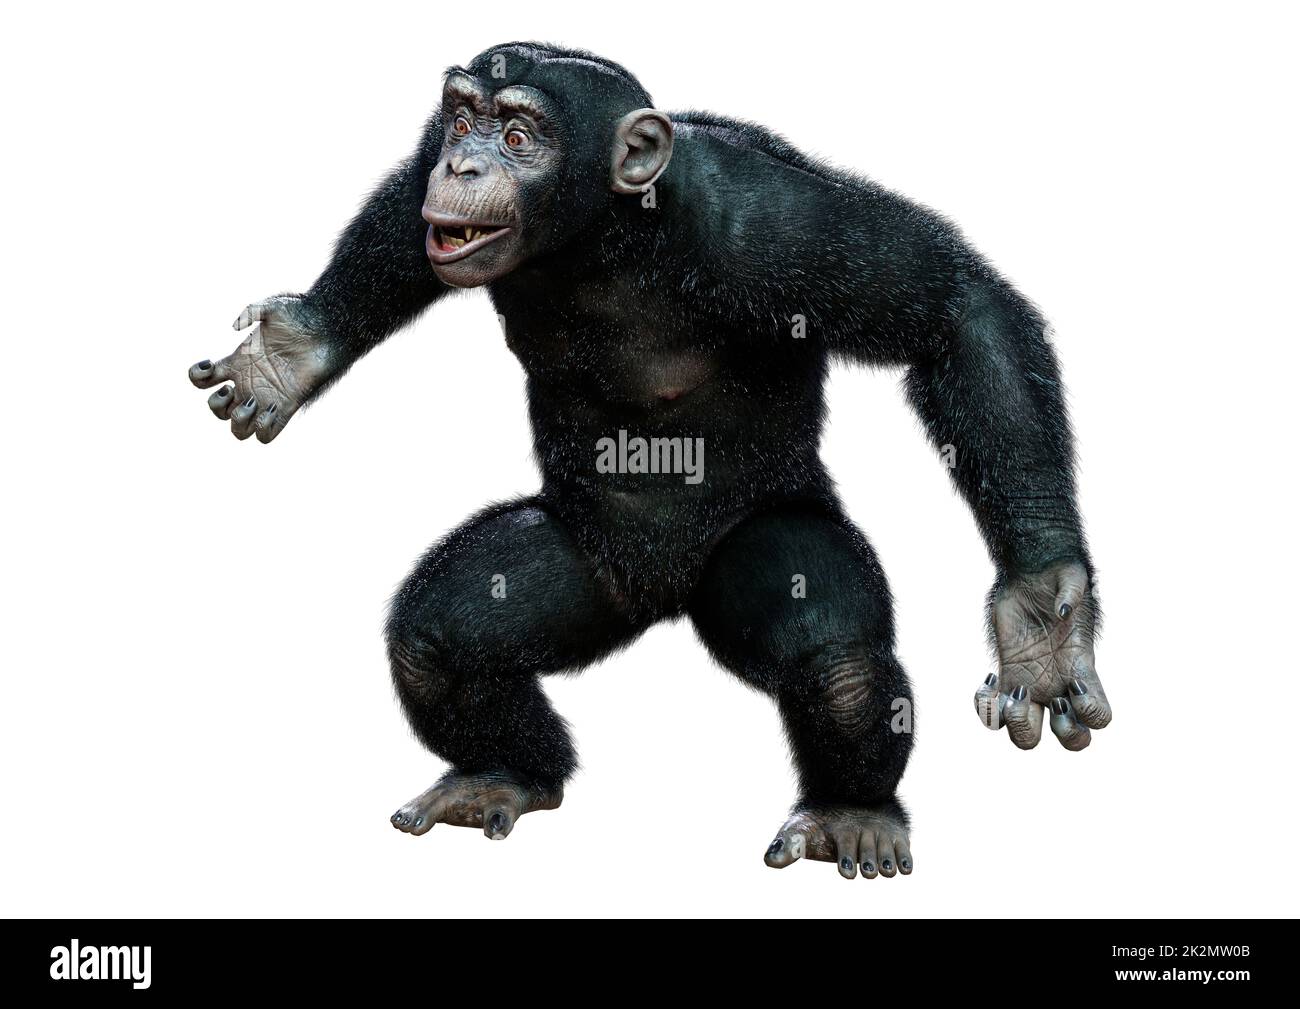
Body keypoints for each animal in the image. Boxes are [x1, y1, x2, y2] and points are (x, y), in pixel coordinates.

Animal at [188, 42, 1110, 879]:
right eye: (461, 119)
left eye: (518, 135)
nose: (464, 161)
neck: (599, 234)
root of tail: (665, 598)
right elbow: (411, 223)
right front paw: (293, 350)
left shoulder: (763, 225)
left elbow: (950, 307)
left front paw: (1041, 619)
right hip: (588, 565)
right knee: (437, 637)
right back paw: (506, 772)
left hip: (760, 537)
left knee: (838, 663)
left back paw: (851, 810)